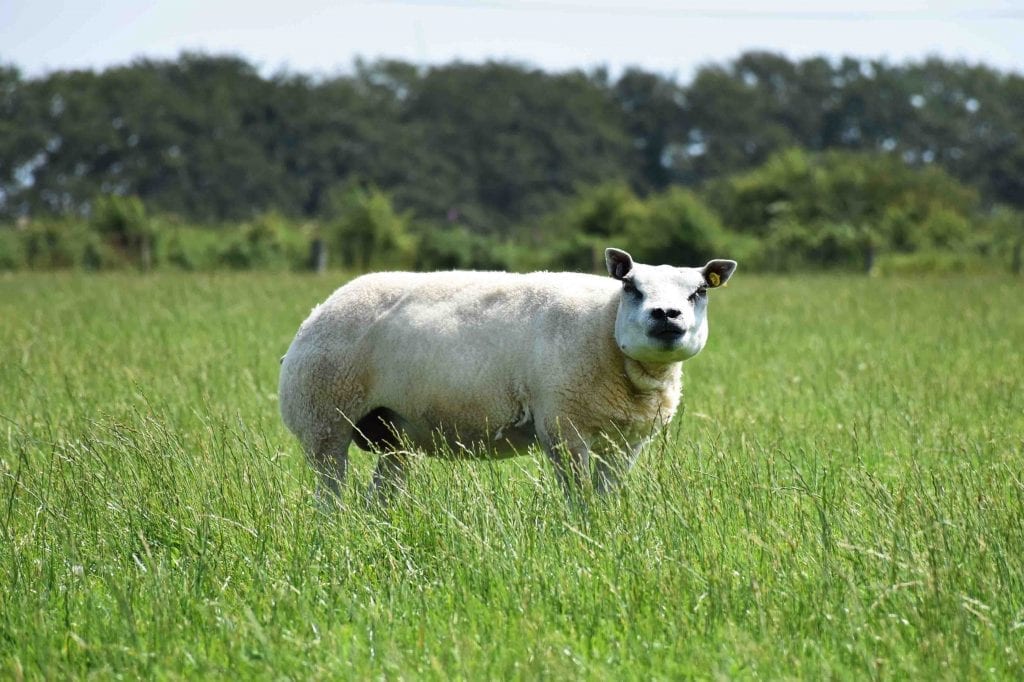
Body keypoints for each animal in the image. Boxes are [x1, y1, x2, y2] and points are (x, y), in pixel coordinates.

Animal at [278, 247, 736, 503]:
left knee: (380, 494)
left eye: (699, 291)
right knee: (329, 492)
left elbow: (607, 495)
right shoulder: (562, 426)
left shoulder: (628, 440)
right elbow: (580, 497)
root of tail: (320, 309)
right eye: (631, 287)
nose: (666, 314)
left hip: (394, 432)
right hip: (323, 417)